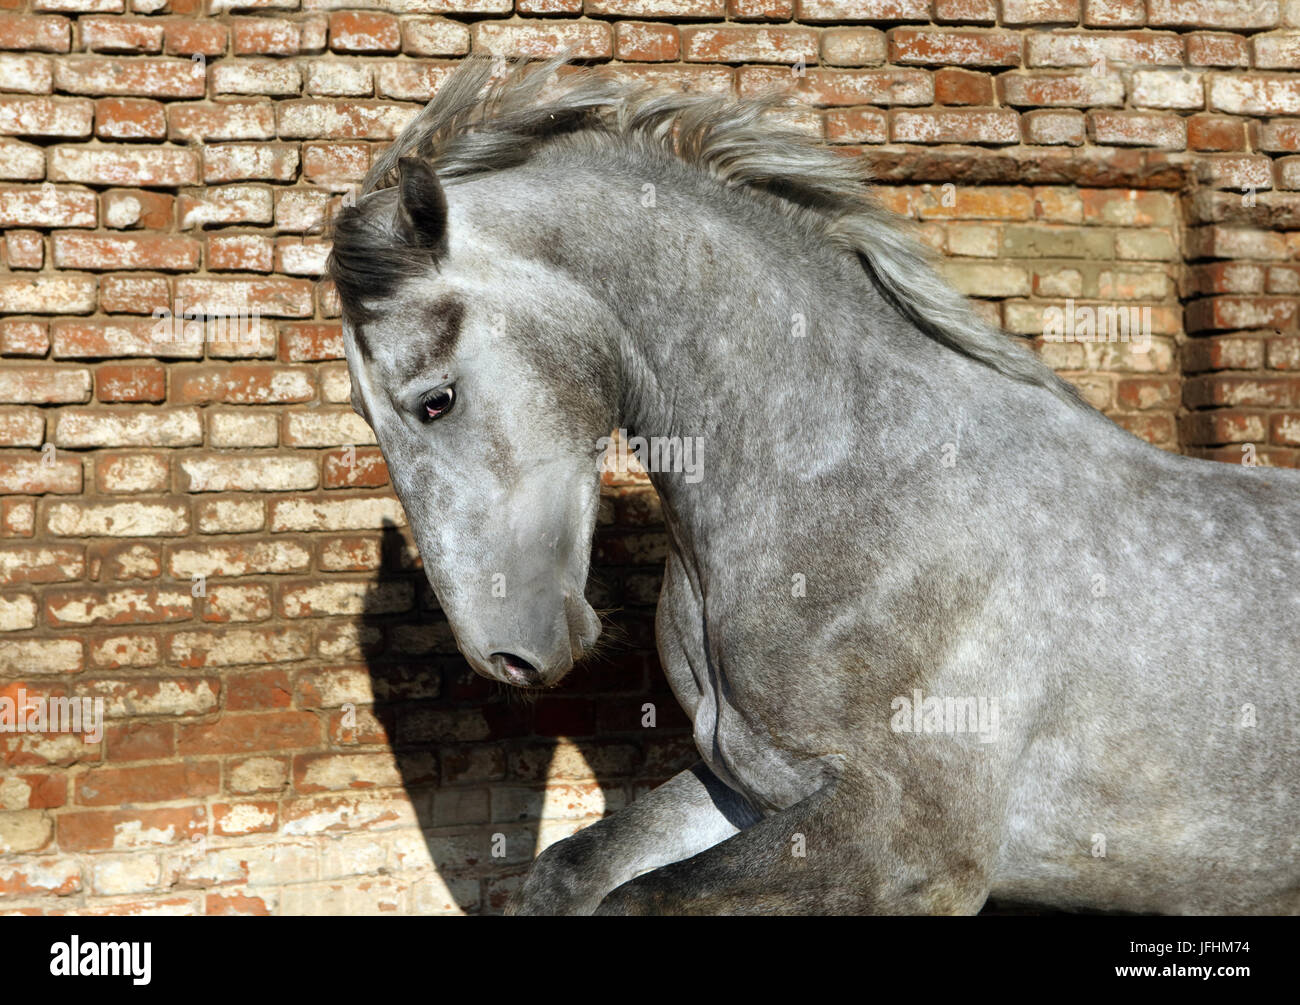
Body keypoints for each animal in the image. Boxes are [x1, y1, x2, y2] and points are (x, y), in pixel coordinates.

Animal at [327, 57, 1300, 915]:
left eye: (435, 399)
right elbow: (571, 872)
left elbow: (643, 898)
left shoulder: (906, 847)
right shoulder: (751, 787)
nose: (507, 656)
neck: (856, 489)